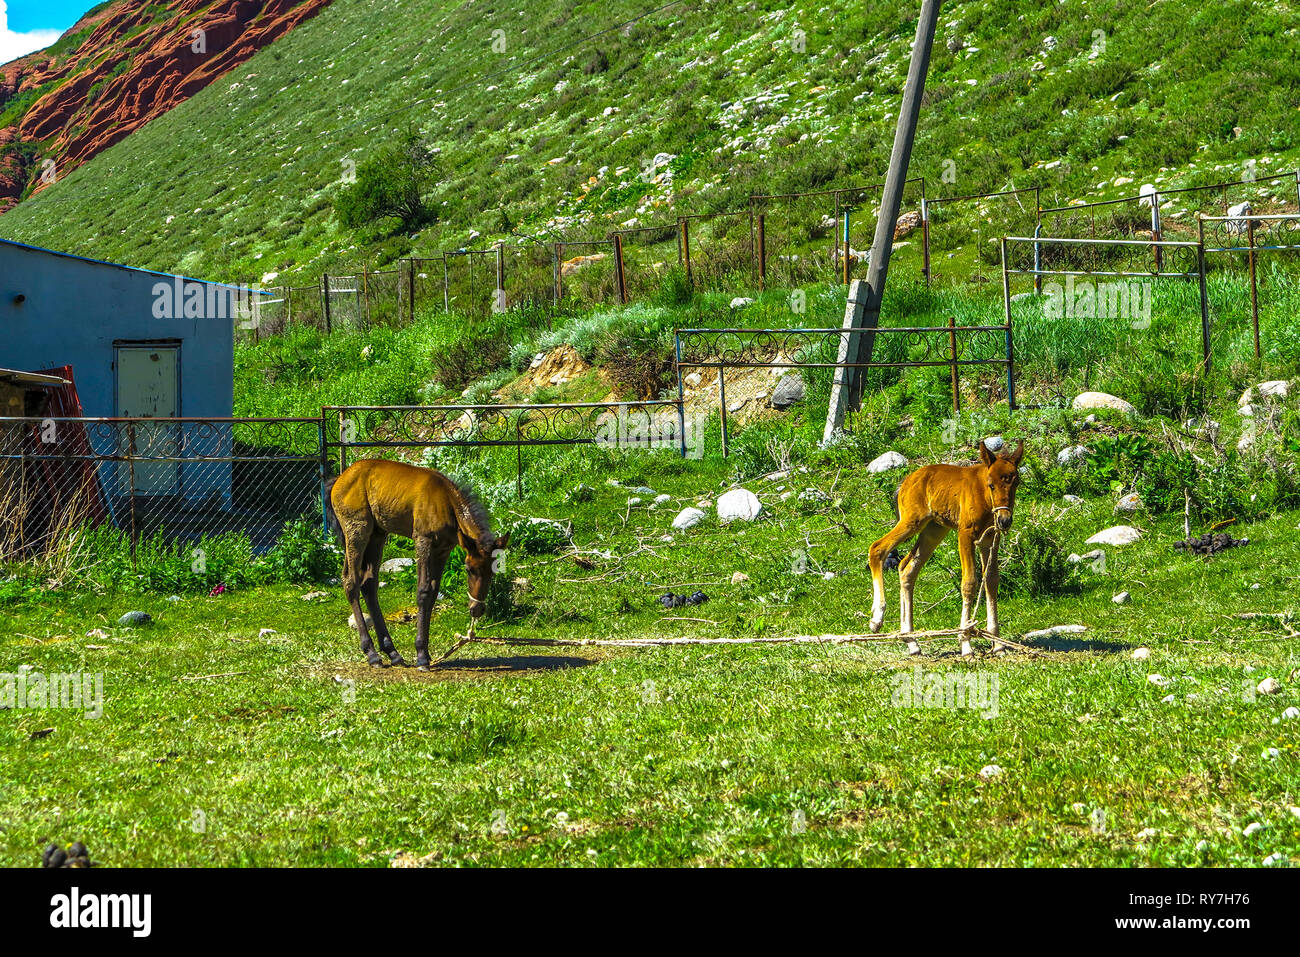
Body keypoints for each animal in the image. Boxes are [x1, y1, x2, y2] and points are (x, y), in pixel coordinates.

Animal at [325, 459, 510, 670]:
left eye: (492, 572)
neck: (446, 503)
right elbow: (423, 591)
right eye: (469, 569)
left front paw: (426, 653)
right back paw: (372, 654)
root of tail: (339, 479)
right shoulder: (423, 540)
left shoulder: (443, 550)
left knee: (369, 583)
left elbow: (433, 592)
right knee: (351, 581)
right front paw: (421, 655)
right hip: (357, 529)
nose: (476, 609)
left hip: (377, 534)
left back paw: (392, 652)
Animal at [867, 440, 1024, 657]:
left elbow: (991, 580)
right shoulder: (965, 534)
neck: (983, 497)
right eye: (991, 484)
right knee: (877, 548)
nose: (1005, 520)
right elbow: (969, 582)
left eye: (1015, 483)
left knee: (907, 568)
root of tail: (904, 483)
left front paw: (997, 643)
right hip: (912, 521)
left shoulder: (991, 538)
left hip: (934, 529)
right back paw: (877, 619)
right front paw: (965, 643)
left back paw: (911, 641)